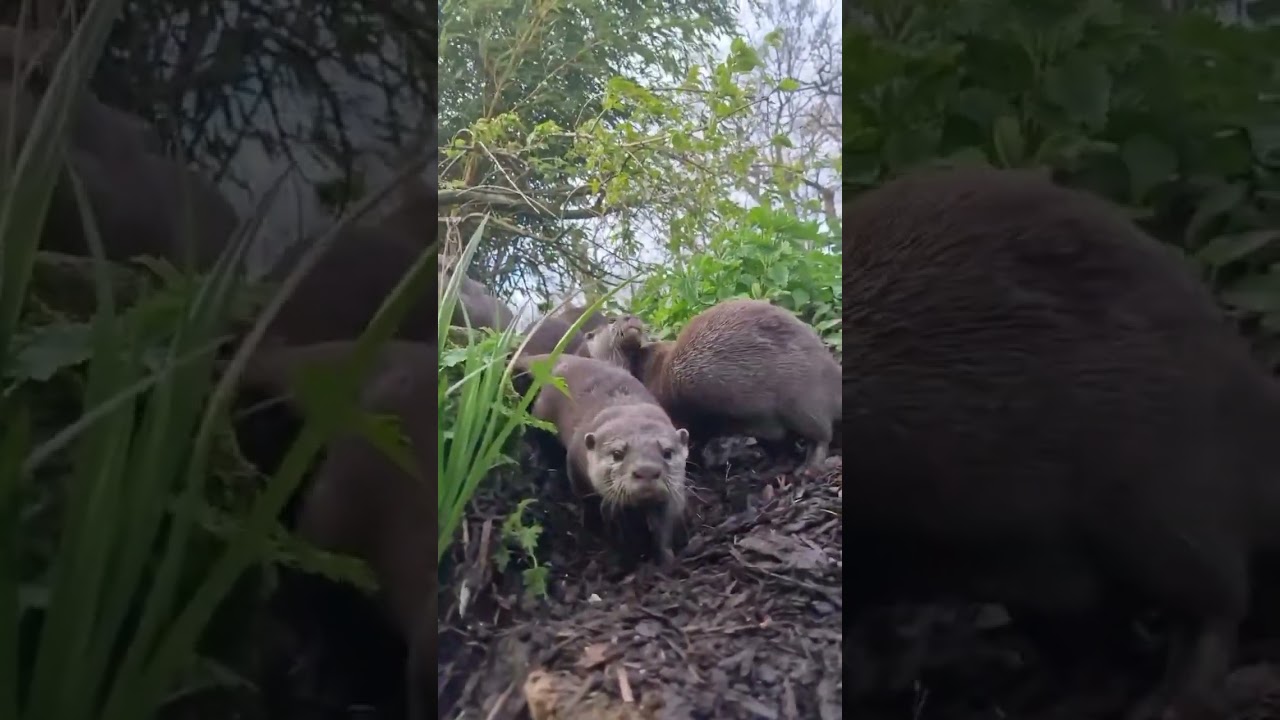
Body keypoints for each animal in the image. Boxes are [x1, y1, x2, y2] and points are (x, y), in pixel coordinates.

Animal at [513, 353, 690, 567]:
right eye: (617, 454)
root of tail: (569, 360)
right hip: (542, 412)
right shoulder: (576, 463)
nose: (647, 470)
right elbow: (588, 501)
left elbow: (663, 528)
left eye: (667, 452)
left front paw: (665, 559)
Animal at [584, 300, 841, 472]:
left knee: (821, 433)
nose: (629, 316)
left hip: (800, 397)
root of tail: (831, 369)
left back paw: (810, 464)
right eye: (610, 320)